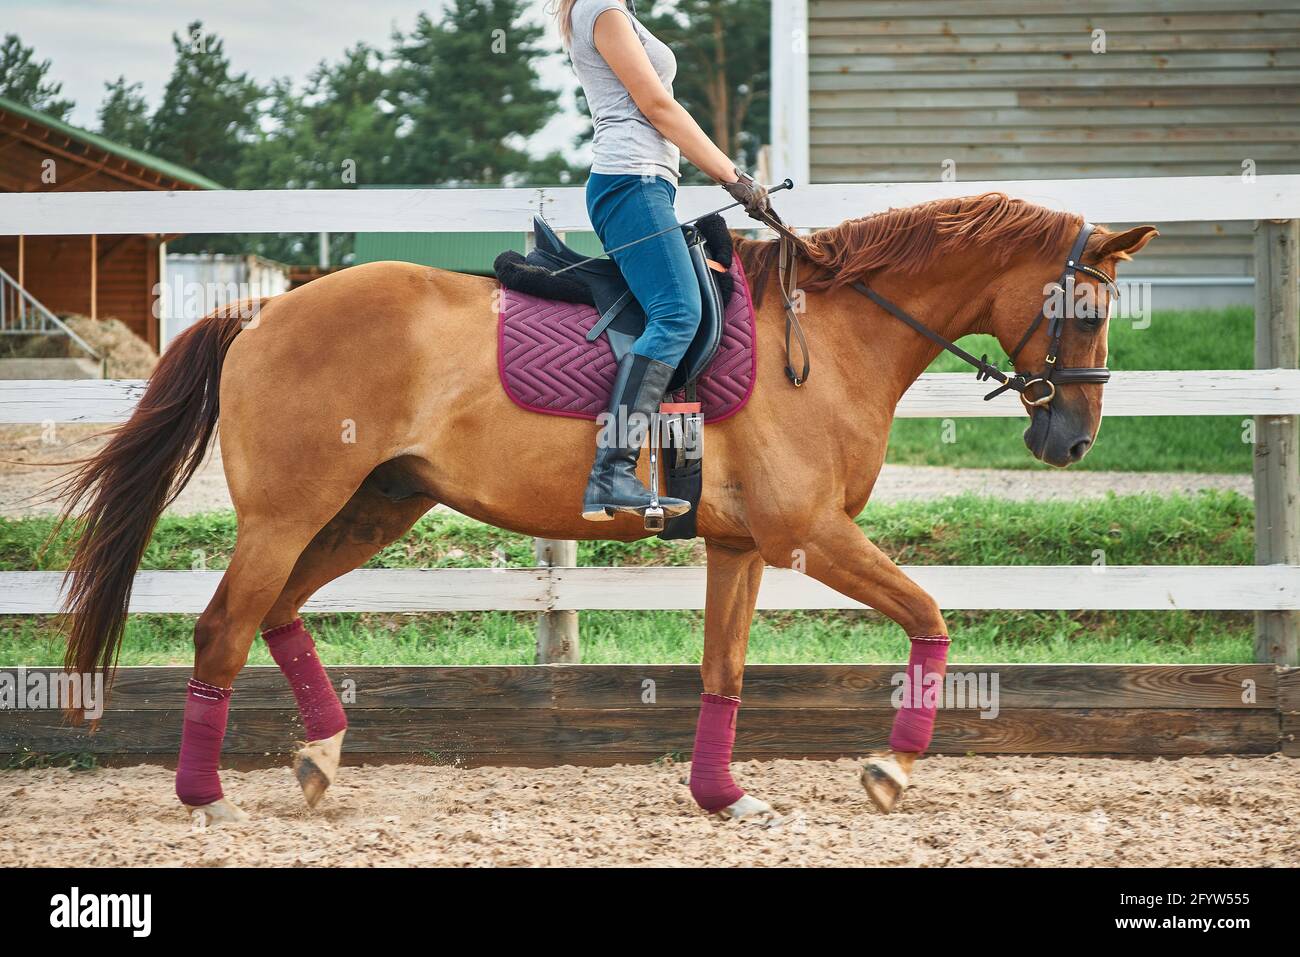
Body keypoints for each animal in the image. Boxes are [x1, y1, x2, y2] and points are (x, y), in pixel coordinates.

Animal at [54, 192, 1156, 823]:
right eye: (1085, 308)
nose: (1071, 442)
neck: (833, 336)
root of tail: (262, 310)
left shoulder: (741, 547)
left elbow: (724, 673)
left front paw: (720, 795)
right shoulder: (808, 537)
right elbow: (931, 615)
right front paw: (892, 769)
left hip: (373, 508)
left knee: (276, 611)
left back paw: (320, 757)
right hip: (291, 514)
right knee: (222, 628)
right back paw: (204, 795)